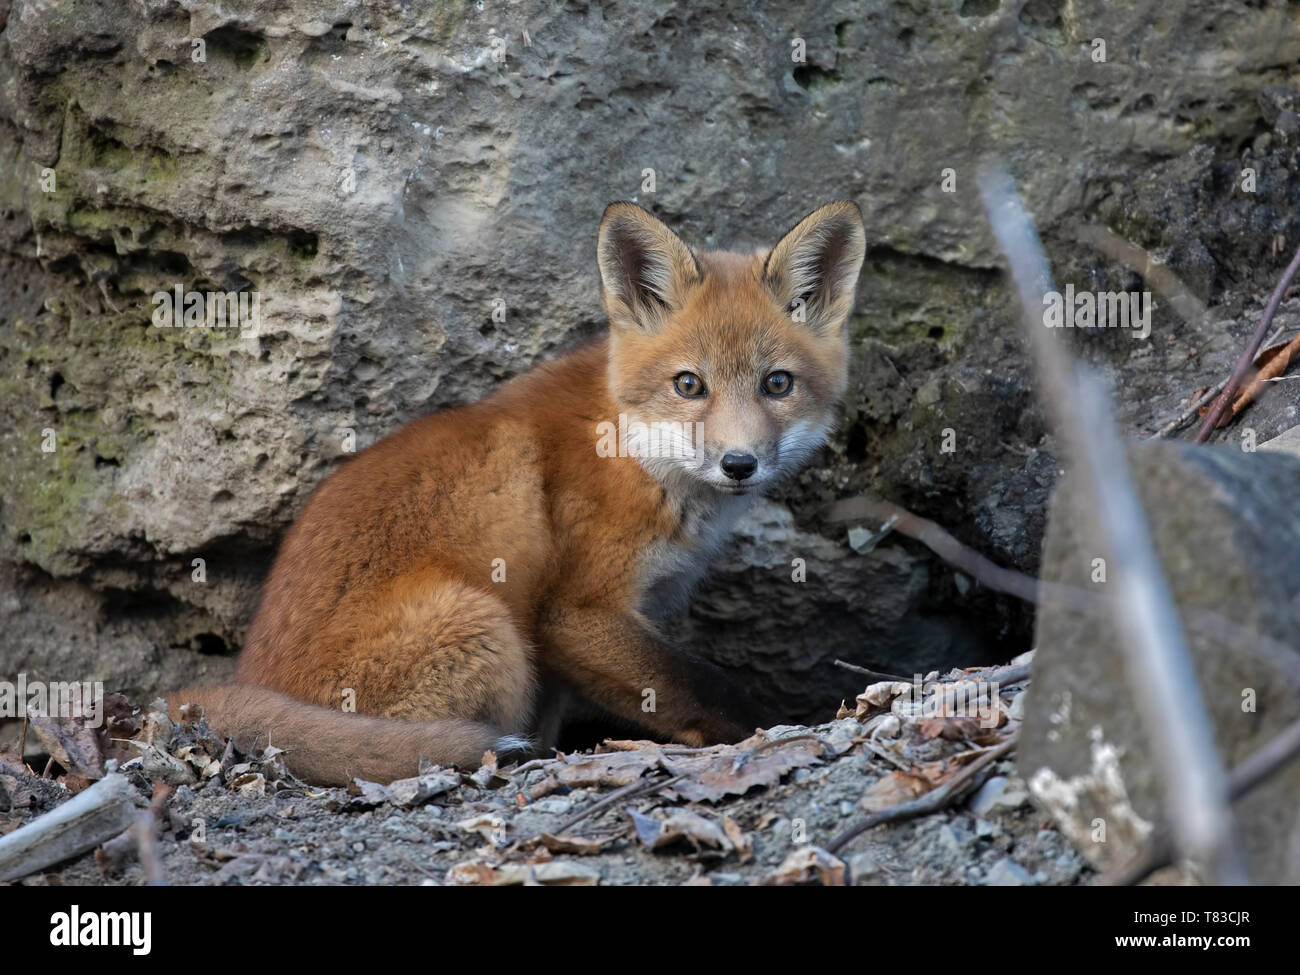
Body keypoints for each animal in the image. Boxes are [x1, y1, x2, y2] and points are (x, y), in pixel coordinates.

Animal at [171, 200, 866, 785]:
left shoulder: (569, 647)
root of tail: (239, 685)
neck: (633, 449)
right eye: (689, 385)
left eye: (777, 383)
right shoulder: (575, 613)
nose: (738, 463)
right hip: (485, 628)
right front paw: (765, 728)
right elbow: (695, 683)